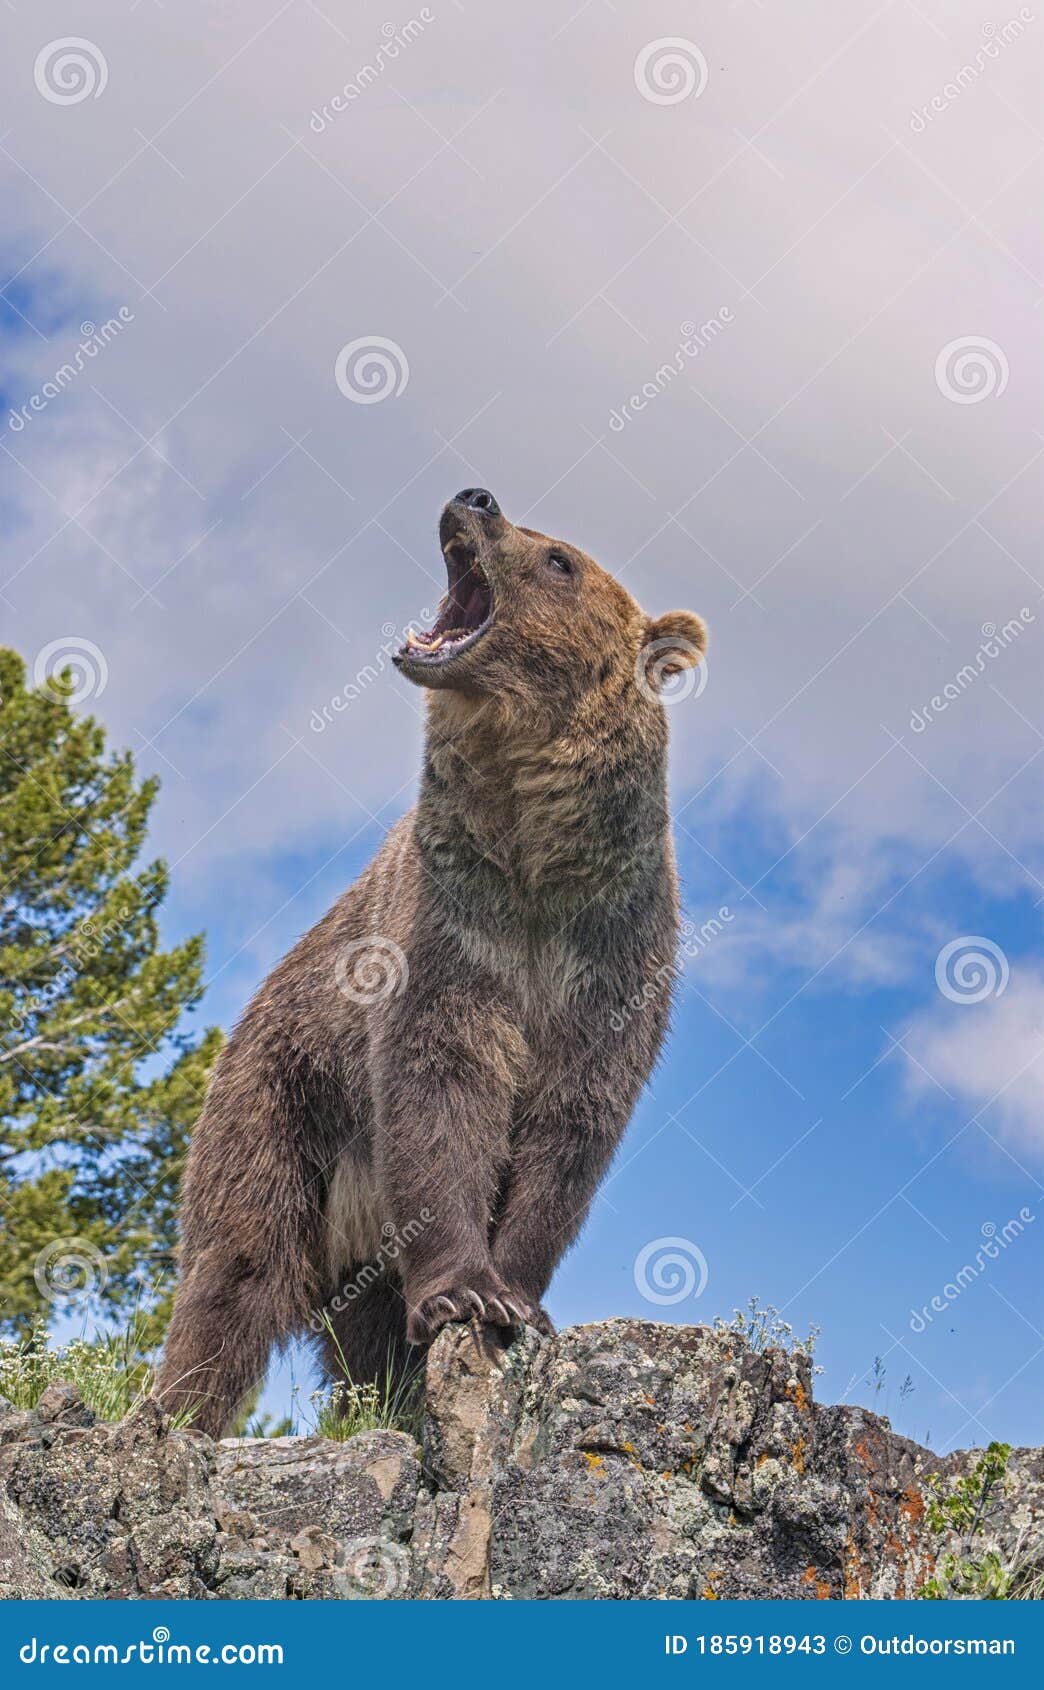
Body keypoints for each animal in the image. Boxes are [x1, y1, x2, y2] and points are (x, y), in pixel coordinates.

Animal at [155, 488, 707, 1436]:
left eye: (559, 558)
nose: (473, 499)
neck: (533, 856)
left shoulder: (610, 954)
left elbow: (572, 1123)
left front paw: (517, 1298)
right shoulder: (449, 932)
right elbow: (439, 1087)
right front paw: (463, 1293)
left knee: (359, 1329)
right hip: (285, 1099)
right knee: (237, 1269)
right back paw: (170, 1415)